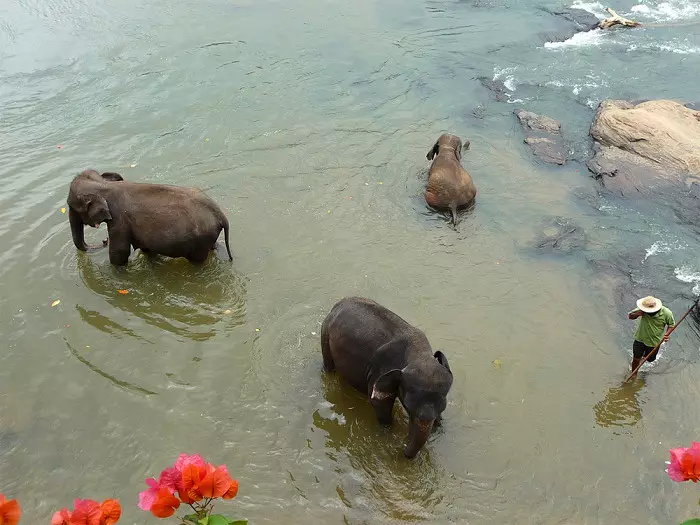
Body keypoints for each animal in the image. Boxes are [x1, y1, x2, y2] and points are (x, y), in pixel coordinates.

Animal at [65, 169, 232, 266]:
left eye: (71, 206)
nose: (104, 240)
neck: (103, 185)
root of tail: (221, 215)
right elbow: (147, 249)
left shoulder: (119, 220)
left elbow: (119, 253)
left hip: (201, 240)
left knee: (197, 260)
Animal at [318, 296, 452, 456]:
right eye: (408, 407)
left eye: (443, 408)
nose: (402, 449)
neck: (418, 354)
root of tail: (338, 304)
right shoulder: (380, 369)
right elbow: (379, 402)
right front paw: (387, 433)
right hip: (325, 335)